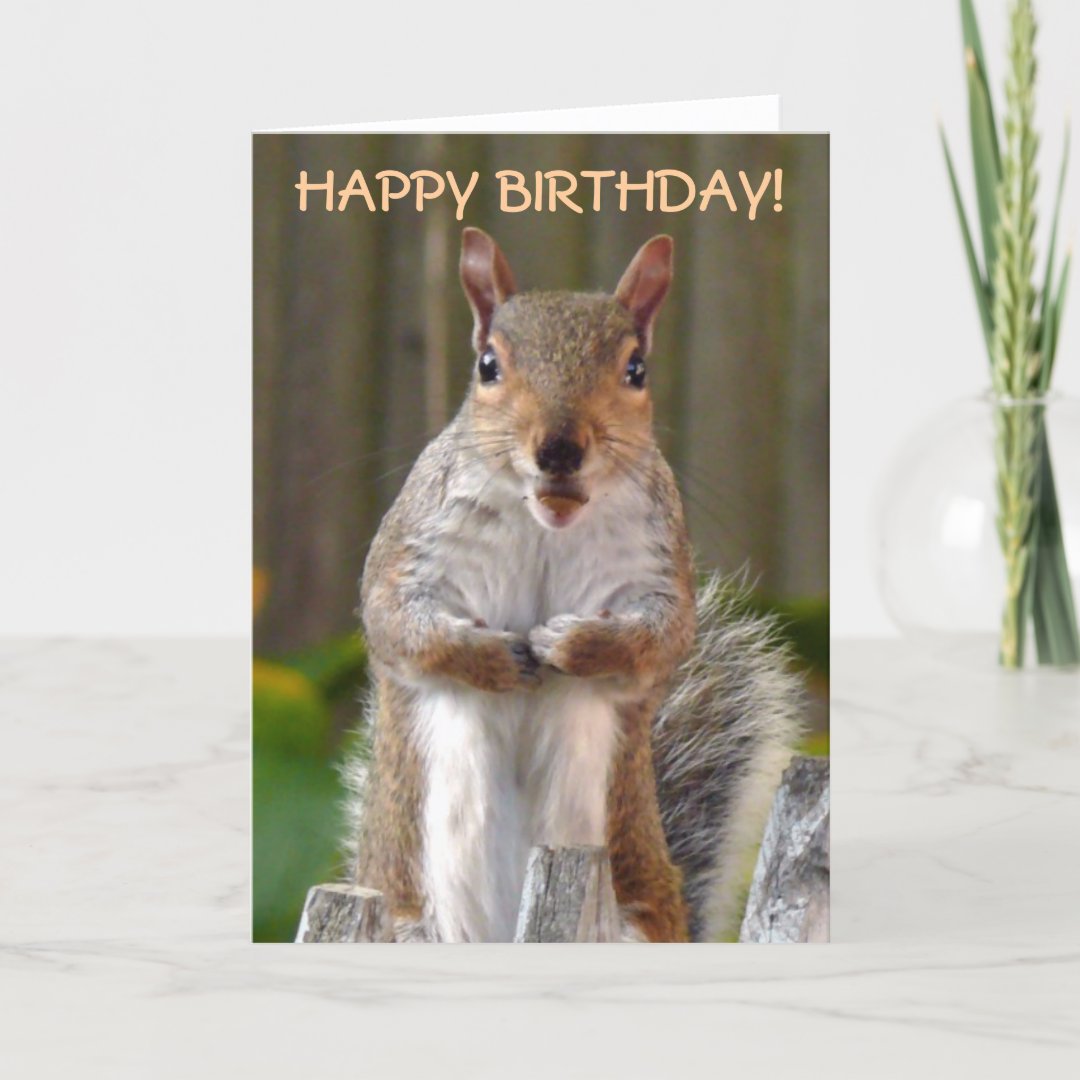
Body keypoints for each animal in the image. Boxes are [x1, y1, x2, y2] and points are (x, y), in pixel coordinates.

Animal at [344, 227, 801, 942]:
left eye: (636, 370)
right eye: (487, 365)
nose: (559, 447)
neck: (547, 527)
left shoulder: (657, 569)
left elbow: (660, 641)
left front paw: (572, 645)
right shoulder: (410, 552)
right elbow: (397, 624)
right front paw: (491, 658)